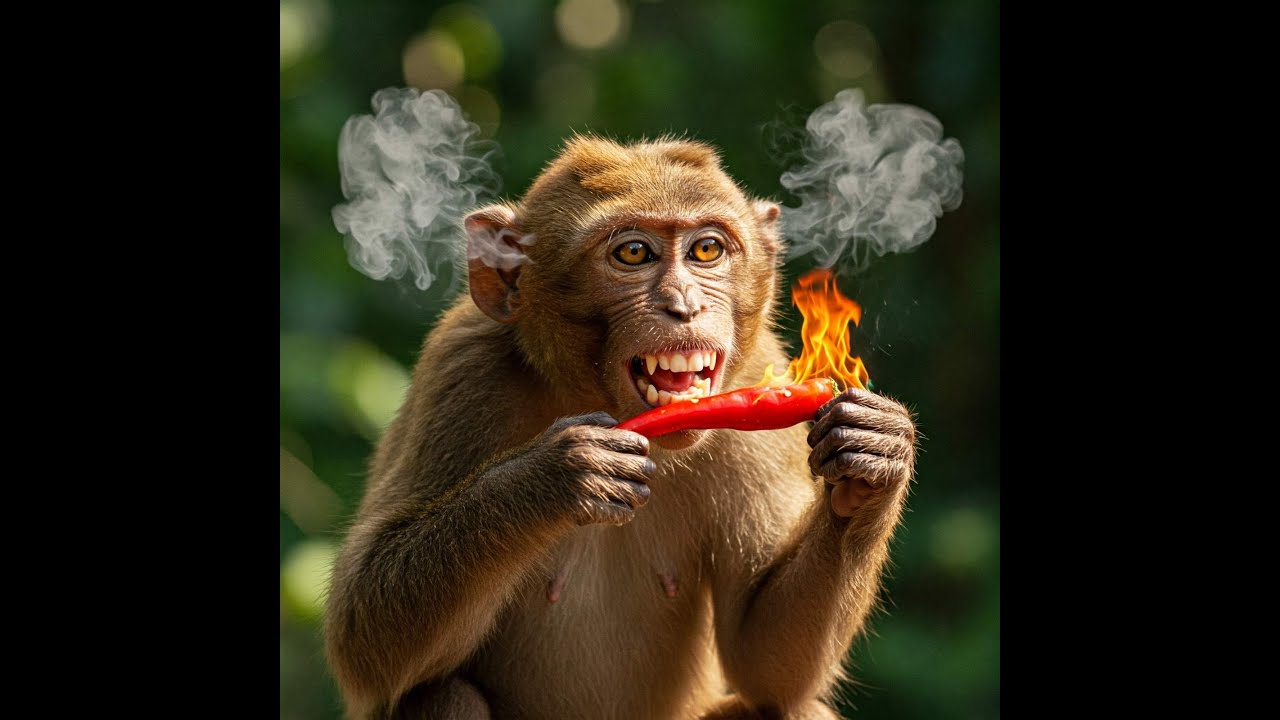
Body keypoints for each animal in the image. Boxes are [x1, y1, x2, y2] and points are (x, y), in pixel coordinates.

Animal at [324, 135, 918, 720]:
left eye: (707, 250)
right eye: (633, 253)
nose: (684, 304)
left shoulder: (758, 379)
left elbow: (766, 664)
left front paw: (874, 459)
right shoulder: (463, 373)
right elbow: (363, 639)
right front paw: (557, 476)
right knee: (444, 695)